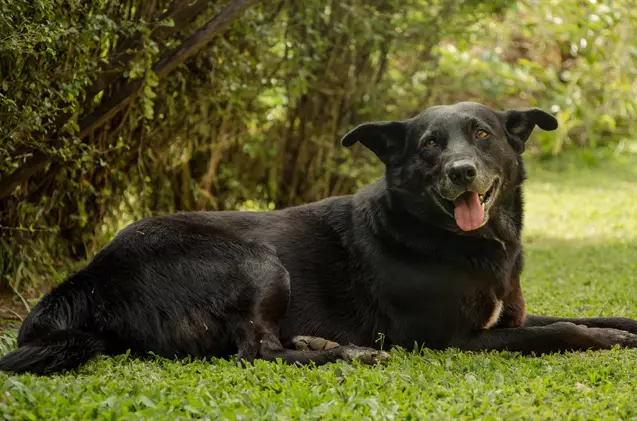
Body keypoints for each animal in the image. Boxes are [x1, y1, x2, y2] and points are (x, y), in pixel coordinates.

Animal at [1, 101, 636, 374]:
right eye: (430, 144)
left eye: (481, 134)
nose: (462, 172)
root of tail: (88, 280)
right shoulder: (454, 339)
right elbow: (561, 332)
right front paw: (603, 342)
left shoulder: (506, 315)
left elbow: (592, 316)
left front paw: (622, 328)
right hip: (255, 262)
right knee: (254, 351)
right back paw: (348, 352)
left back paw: (321, 343)